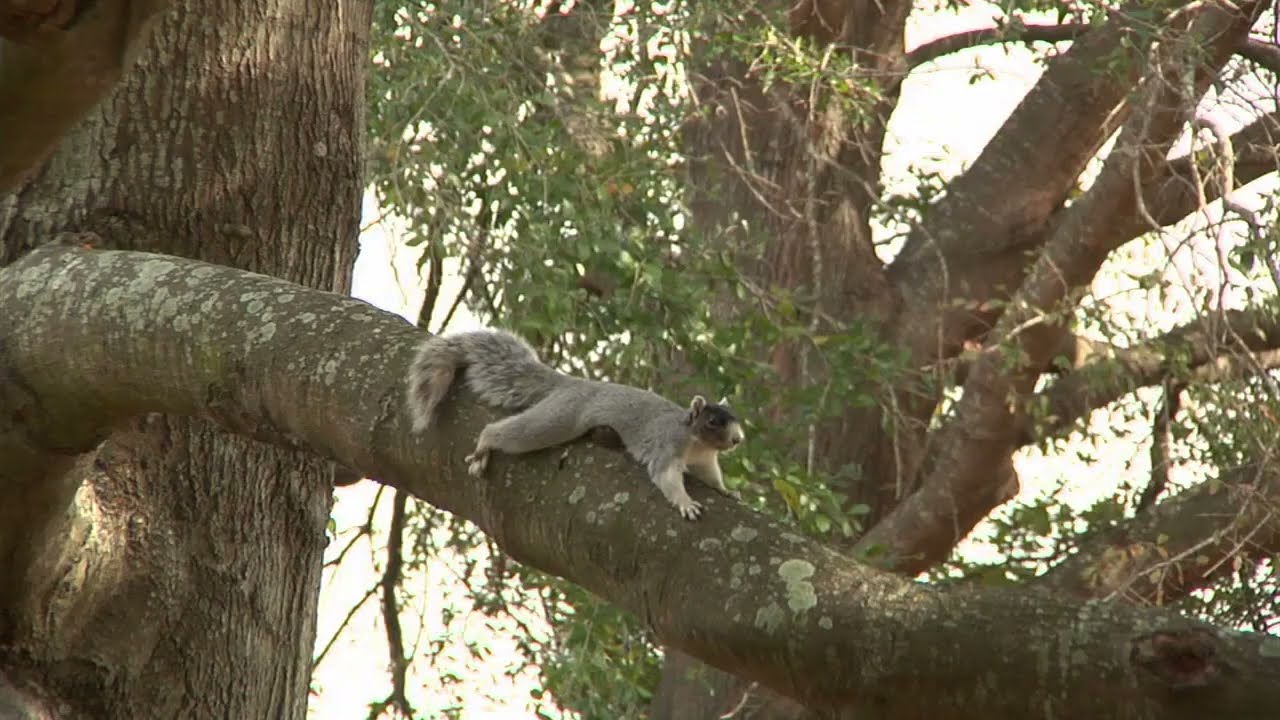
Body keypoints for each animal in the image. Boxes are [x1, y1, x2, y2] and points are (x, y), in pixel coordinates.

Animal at [405, 329, 744, 520]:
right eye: (713, 420)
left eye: (736, 418)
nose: (738, 439)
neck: (695, 441)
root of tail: (570, 384)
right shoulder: (667, 445)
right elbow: (666, 477)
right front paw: (686, 503)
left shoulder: (705, 460)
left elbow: (712, 476)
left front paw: (728, 492)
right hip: (558, 419)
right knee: (509, 432)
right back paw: (485, 444)